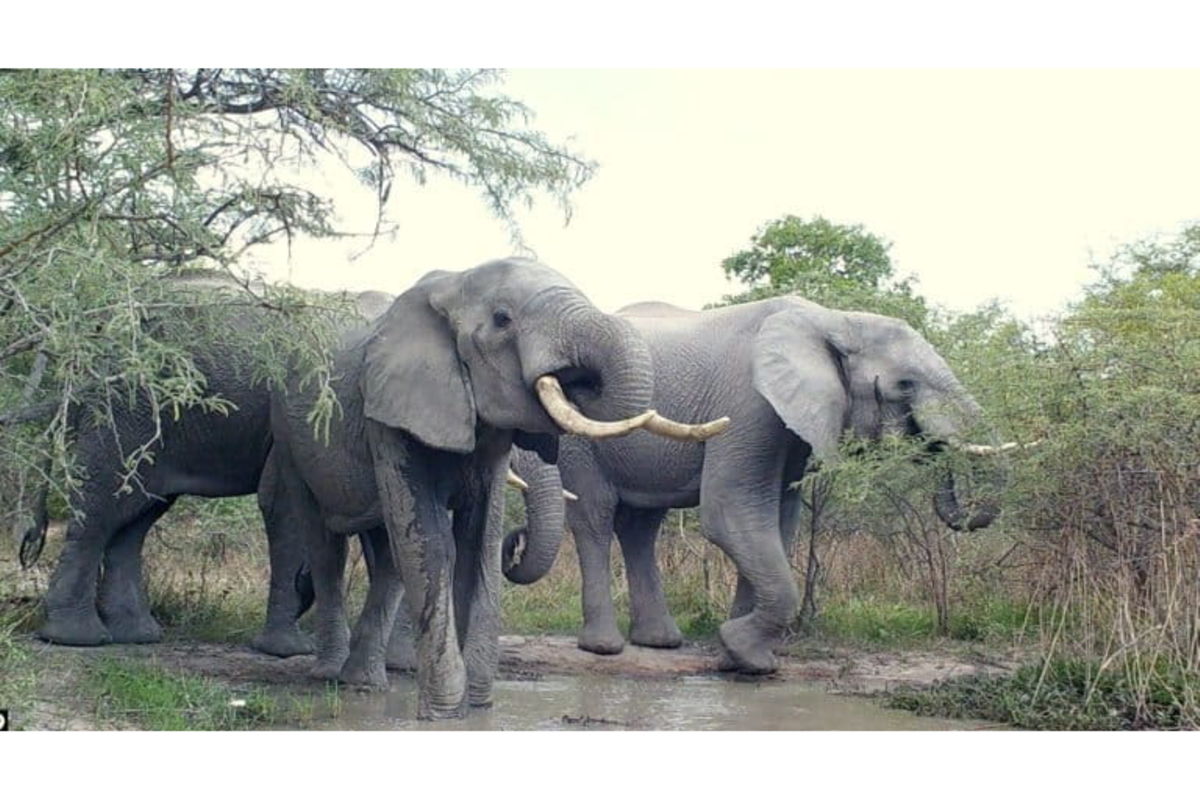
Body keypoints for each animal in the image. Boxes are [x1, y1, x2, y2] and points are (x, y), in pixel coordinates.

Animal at [33, 273, 395, 656]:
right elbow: (284, 504)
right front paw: (288, 650)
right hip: (127, 406)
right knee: (103, 505)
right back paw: (75, 637)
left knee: (135, 517)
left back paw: (136, 634)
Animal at [267, 257, 727, 719]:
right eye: (503, 320)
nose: (518, 544)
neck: (453, 286)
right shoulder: (392, 413)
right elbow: (431, 544)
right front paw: (444, 715)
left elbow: (480, 543)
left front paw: (477, 707)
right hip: (289, 440)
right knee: (326, 545)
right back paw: (333, 676)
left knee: (387, 555)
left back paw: (362, 682)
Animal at [510, 296, 1007, 675]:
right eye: (905, 384)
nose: (934, 446)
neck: (832, 318)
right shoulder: (749, 404)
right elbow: (732, 512)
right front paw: (745, 653)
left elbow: (777, 521)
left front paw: (737, 658)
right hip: (578, 435)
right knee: (594, 516)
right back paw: (604, 648)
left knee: (640, 525)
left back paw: (659, 642)